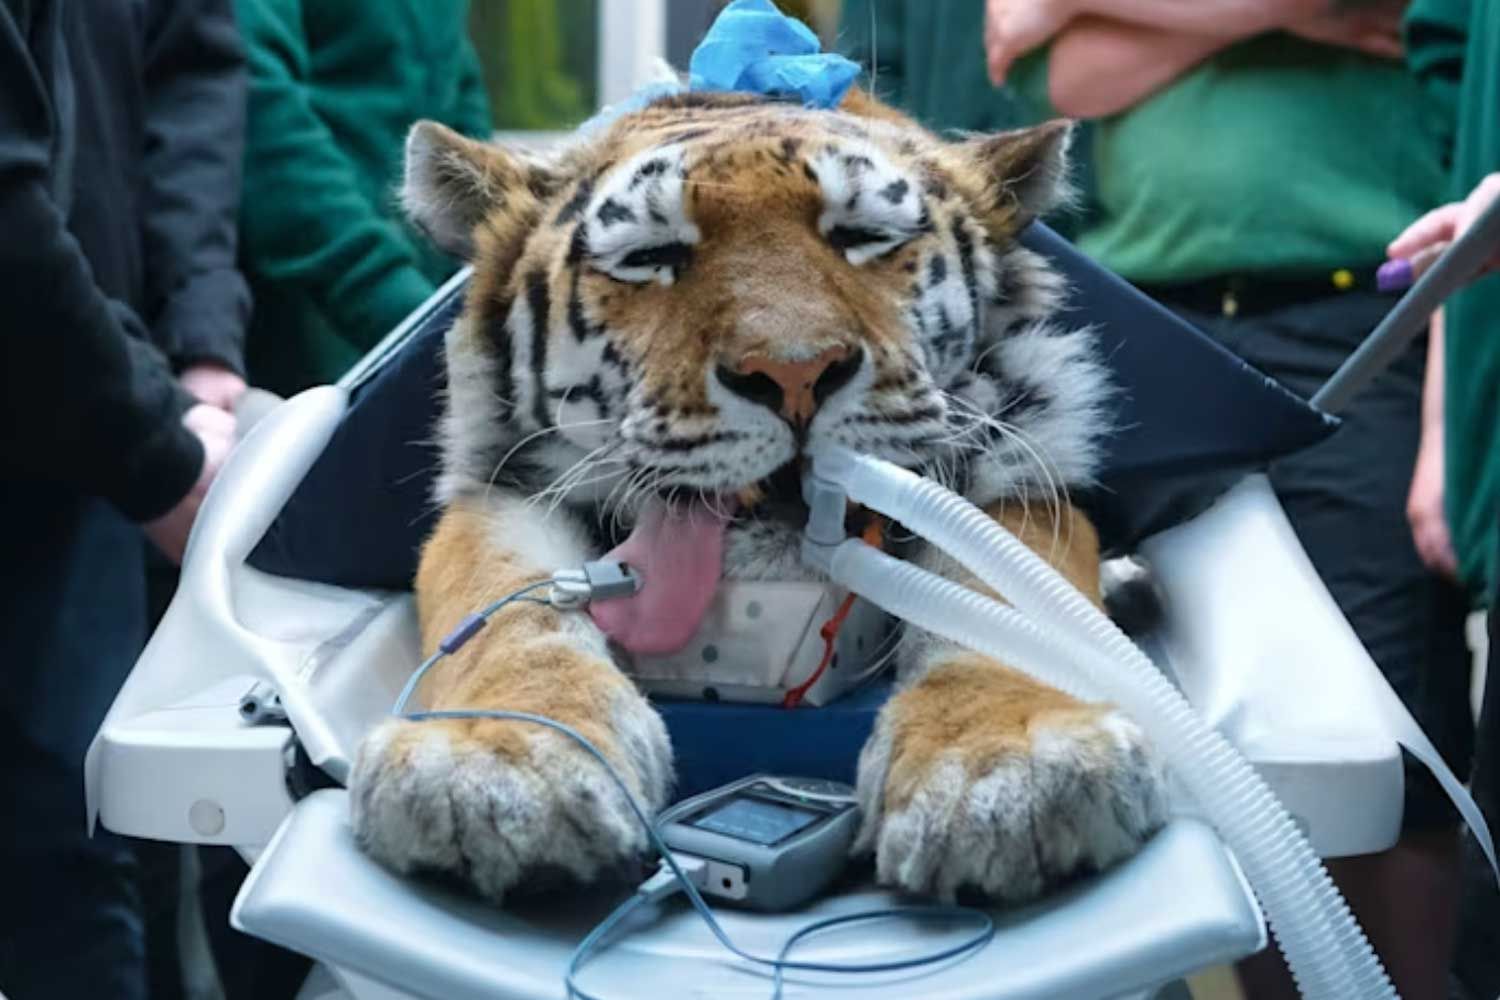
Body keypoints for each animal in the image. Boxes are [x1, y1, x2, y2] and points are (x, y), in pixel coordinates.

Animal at [348, 86, 1170, 905]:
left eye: (863, 237)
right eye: (650, 257)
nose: (797, 372)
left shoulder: (1019, 478)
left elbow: (1006, 603)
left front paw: (1007, 766)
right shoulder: (501, 496)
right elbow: (504, 610)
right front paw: (495, 764)